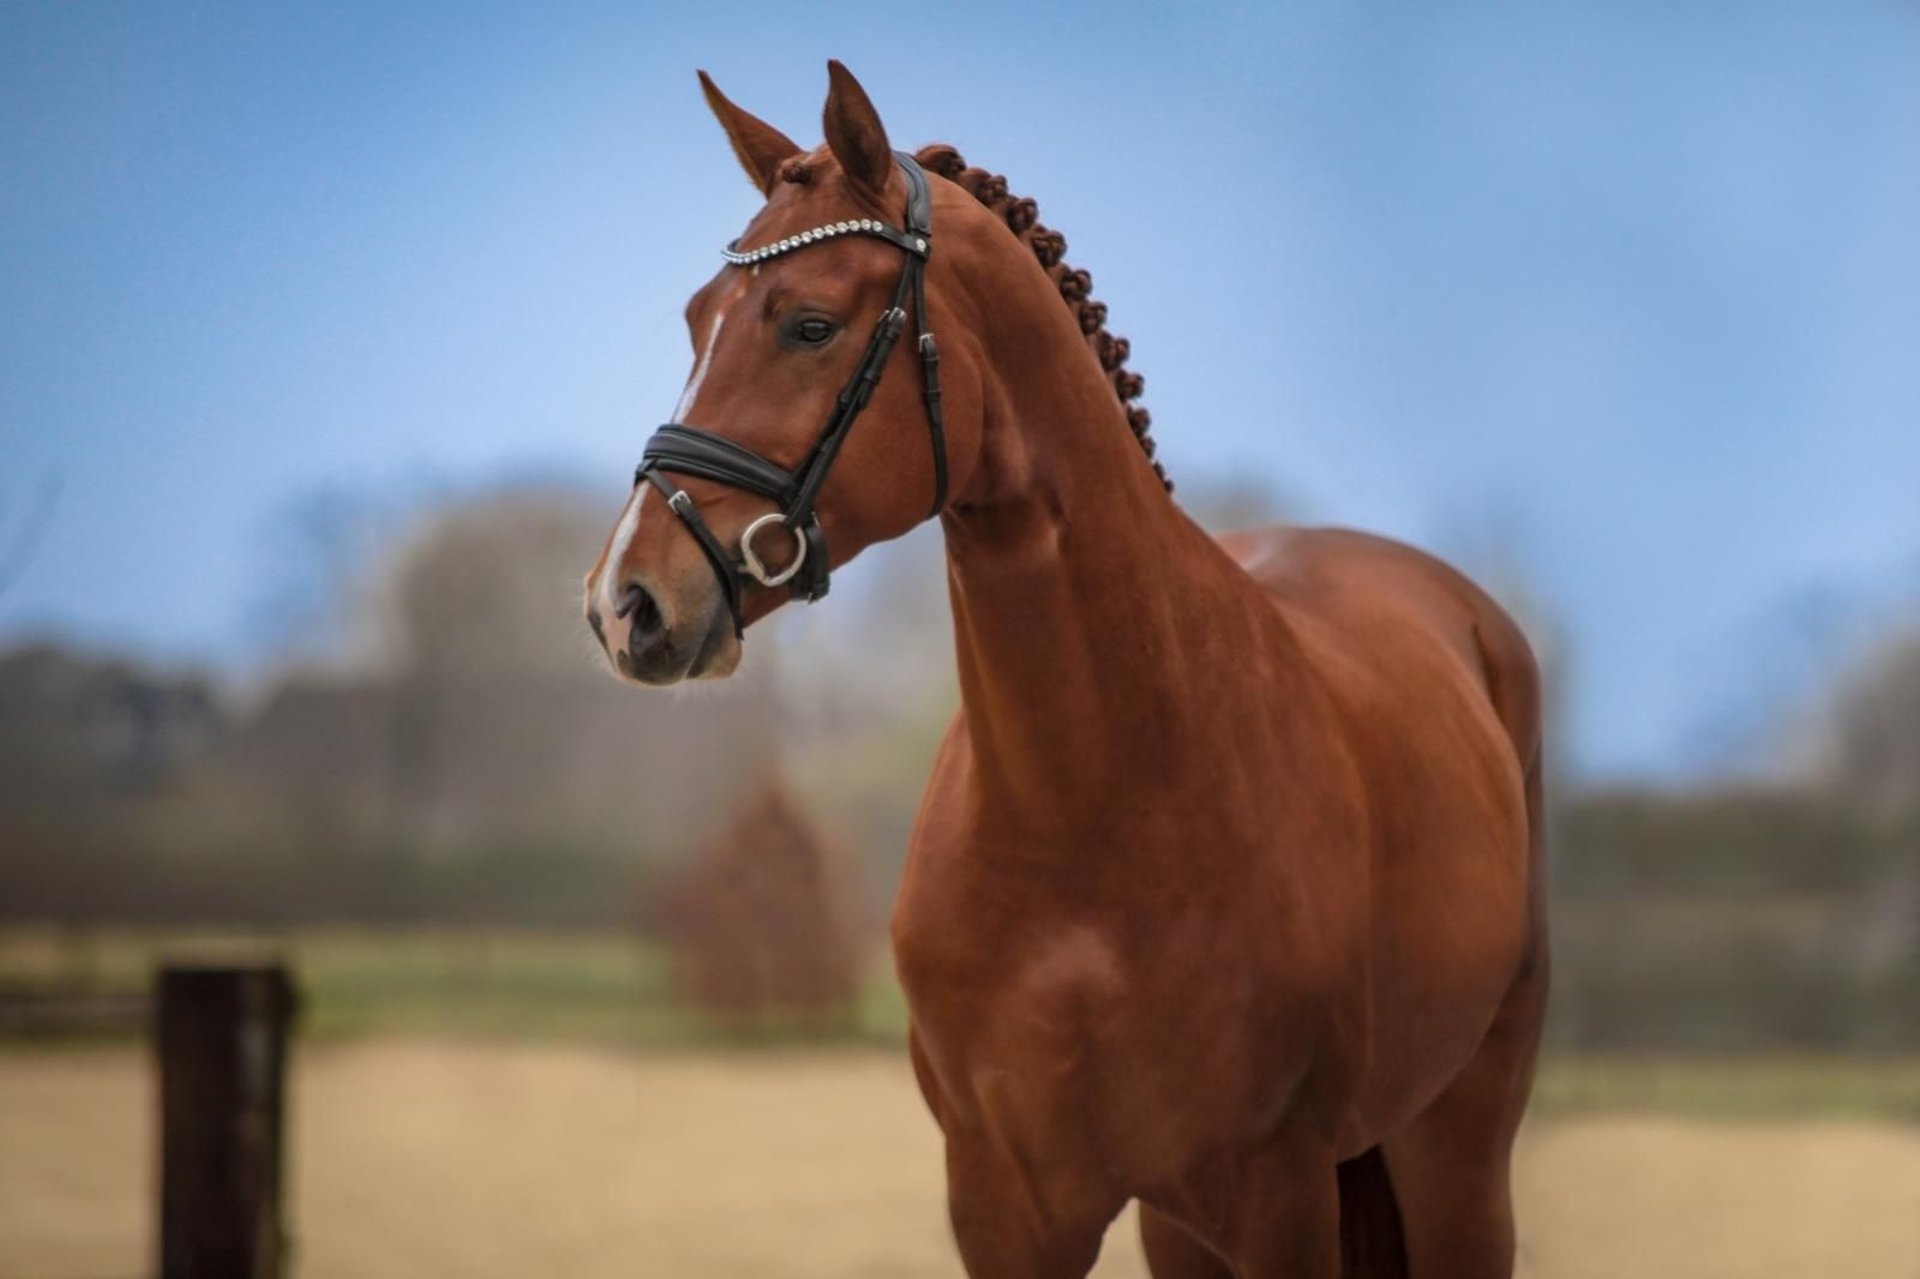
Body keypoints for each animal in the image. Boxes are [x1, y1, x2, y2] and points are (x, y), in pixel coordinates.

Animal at [584, 61, 1548, 1279]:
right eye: (696, 317)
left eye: (810, 324)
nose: (627, 602)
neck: (1091, 811)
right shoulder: (1006, 1206)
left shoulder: (1280, 1195)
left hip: (1455, 1154)